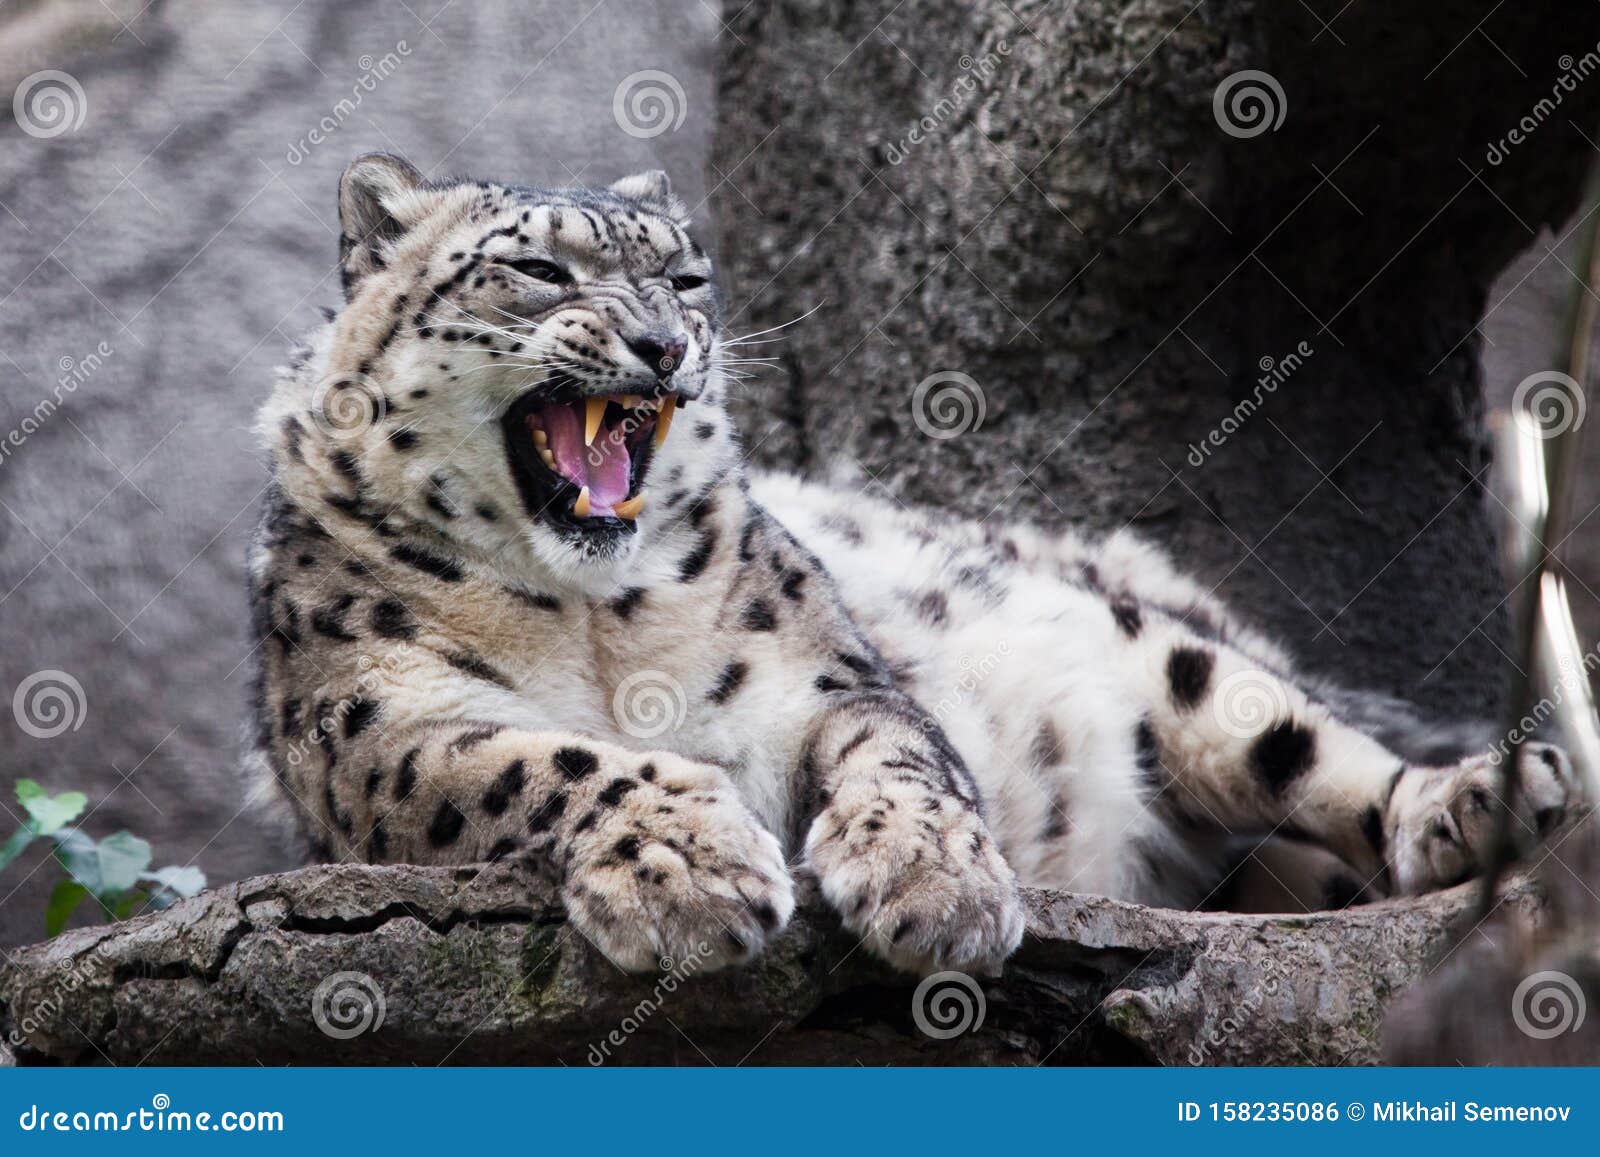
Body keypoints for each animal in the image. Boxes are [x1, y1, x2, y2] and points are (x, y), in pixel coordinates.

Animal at [245, 152, 1583, 977]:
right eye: (540, 269)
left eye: (684, 275)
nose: (665, 341)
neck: (595, 617)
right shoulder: (381, 726)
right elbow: (551, 758)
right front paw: (691, 870)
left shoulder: (822, 677)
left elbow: (902, 751)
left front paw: (936, 884)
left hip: (1168, 658)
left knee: (1313, 749)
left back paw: (1480, 798)